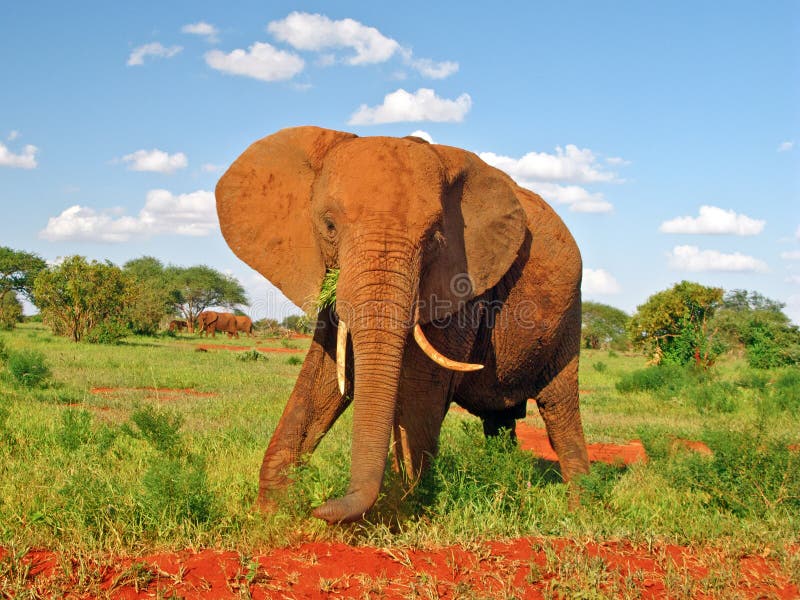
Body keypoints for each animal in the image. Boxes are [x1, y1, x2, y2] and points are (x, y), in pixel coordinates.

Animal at [216, 126, 590, 524]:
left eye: (434, 239)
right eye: (329, 227)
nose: (319, 509)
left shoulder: (463, 283)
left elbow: (420, 386)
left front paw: (399, 514)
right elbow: (327, 373)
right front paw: (270, 512)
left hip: (569, 314)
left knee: (559, 410)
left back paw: (579, 510)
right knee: (501, 421)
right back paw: (507, 486)